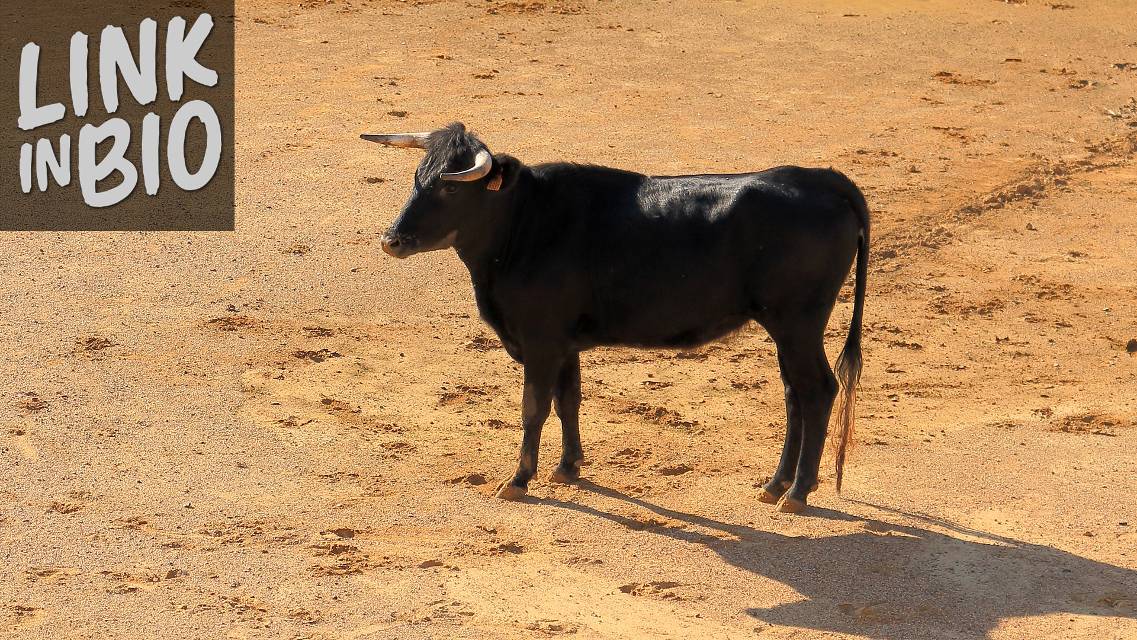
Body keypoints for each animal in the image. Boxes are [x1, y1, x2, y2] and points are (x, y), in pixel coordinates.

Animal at [361, 123, 868, 513]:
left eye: (450, 186)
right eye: (417, 178)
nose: (391, 240)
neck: (524, 224)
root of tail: (822, 181)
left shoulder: (541, 341)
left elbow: (533, 407)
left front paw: (519, 479)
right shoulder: (563, 344)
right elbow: (568, 400)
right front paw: (568, 467)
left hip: (798, 322)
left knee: (818, 390)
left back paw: (797, 493)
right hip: (783, 328)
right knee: (794, 395)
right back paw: (775, 484)